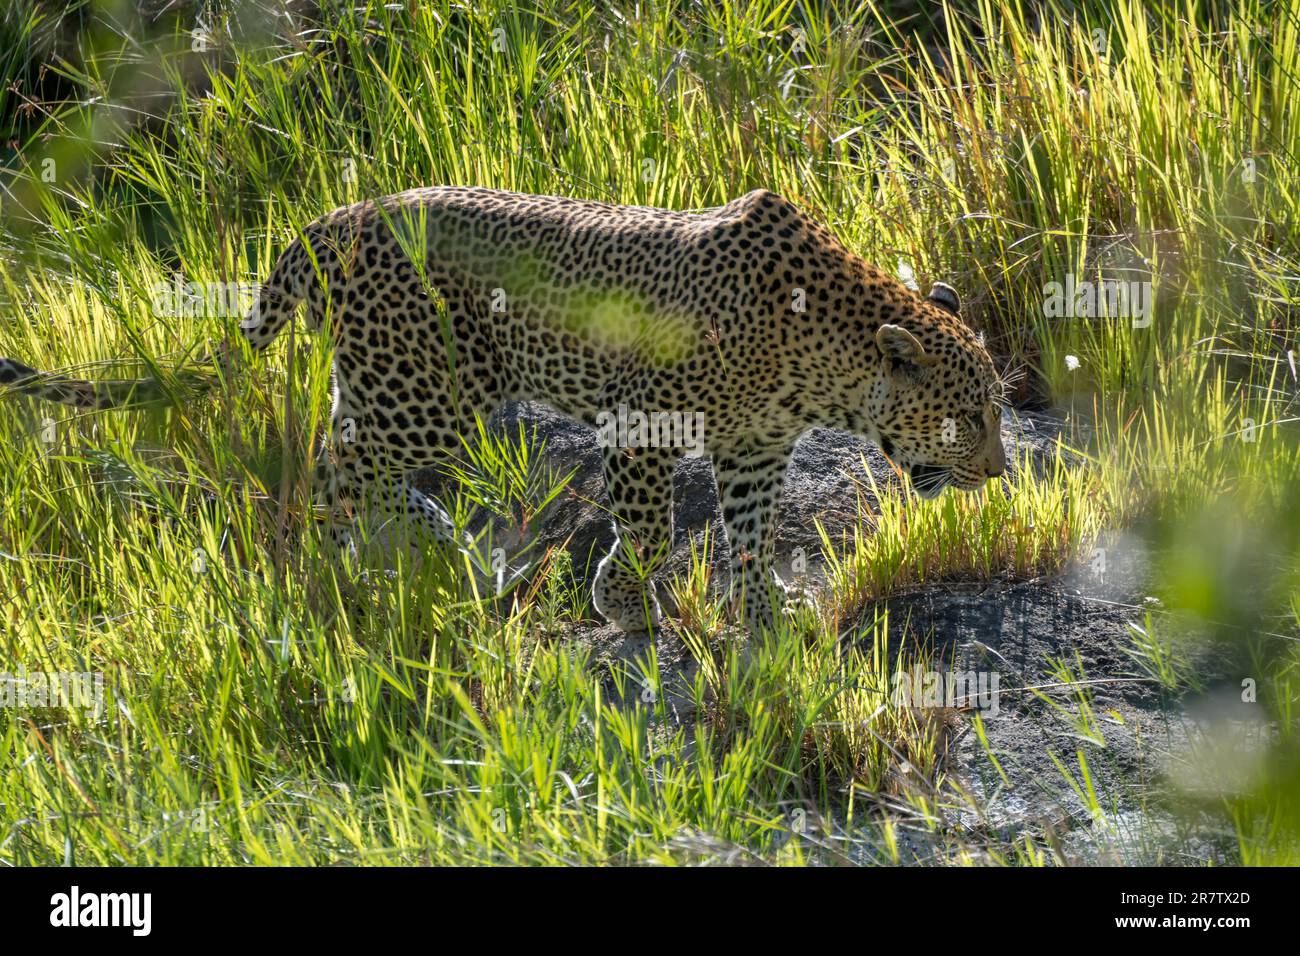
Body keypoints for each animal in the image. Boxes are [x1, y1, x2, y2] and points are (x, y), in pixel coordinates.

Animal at [0, 186, 1007, 633]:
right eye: (969, 417)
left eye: (998, 412)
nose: (999, 472)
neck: (822, 361)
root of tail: (331, 219)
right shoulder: (642, 422)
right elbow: (648, 526)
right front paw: (627, 603)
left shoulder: (756, 448)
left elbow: (753, 530)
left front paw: (764, 609)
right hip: (428, 392)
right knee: (333, 469)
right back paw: (367, 561)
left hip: (390, 383)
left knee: (346, 459)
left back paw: (437, 553)